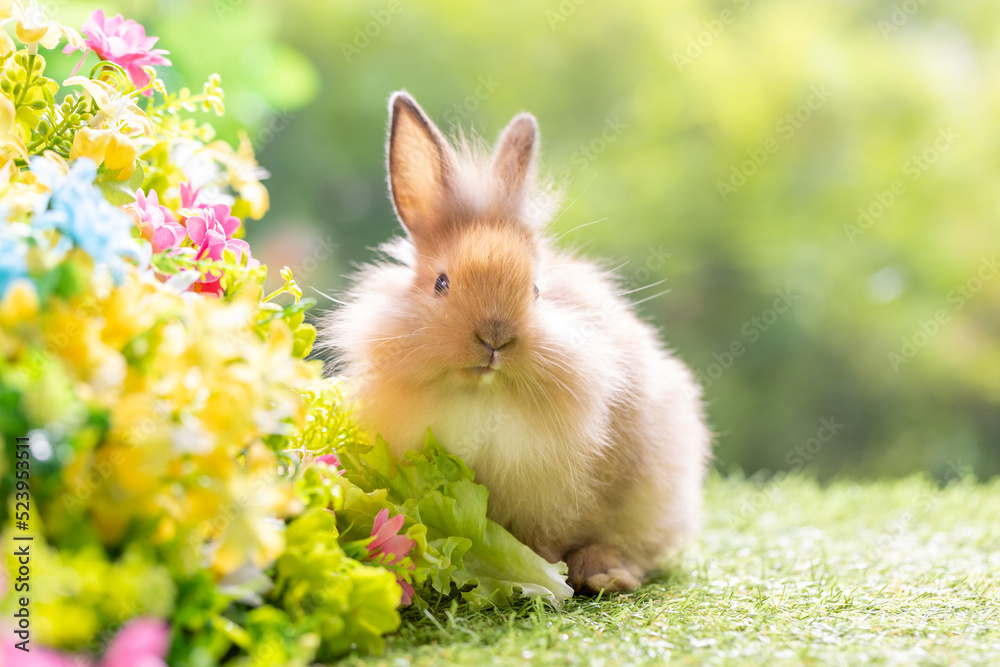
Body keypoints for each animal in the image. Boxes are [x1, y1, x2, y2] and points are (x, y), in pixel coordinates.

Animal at [321, 91, 711, 594]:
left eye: (537, 290)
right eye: (441, 283)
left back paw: (604, 574)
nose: (496, 336)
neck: (482, 393)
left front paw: (544, 575)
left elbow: (549, 538)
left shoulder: (556, 497)